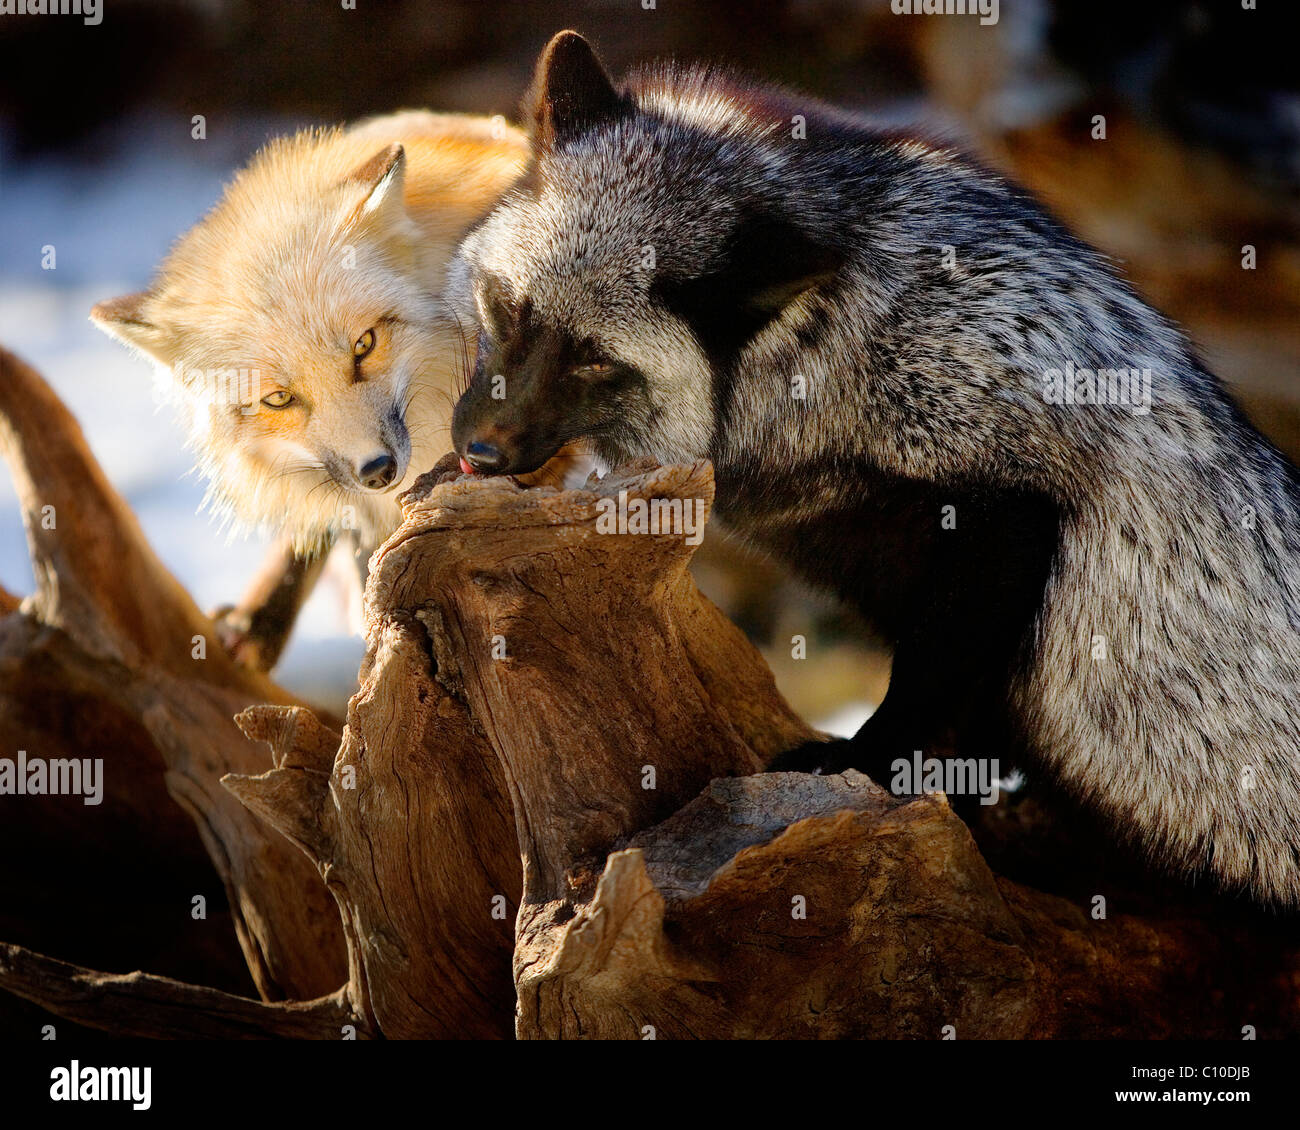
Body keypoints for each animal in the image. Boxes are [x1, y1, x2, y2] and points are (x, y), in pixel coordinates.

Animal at [448, 32, 1300, 905]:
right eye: (511, 309)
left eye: (593, 360)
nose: (480, 452)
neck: (841, 342)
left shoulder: (1003, 511)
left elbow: (929, 685)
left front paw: (863, 765)